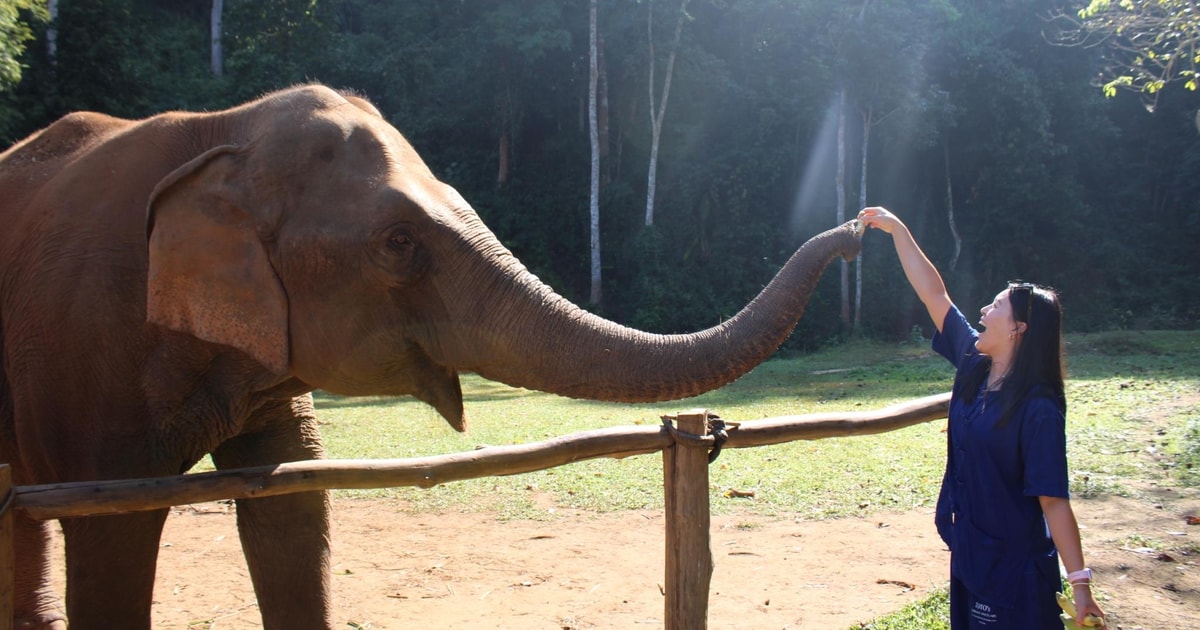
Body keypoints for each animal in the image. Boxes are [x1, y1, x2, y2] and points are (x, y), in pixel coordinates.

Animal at [0, 84, 861, 629]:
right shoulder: (82, 351)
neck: (222, 129)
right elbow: (110, 525)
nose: (861, 227)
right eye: (397, 243)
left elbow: (288, 504)